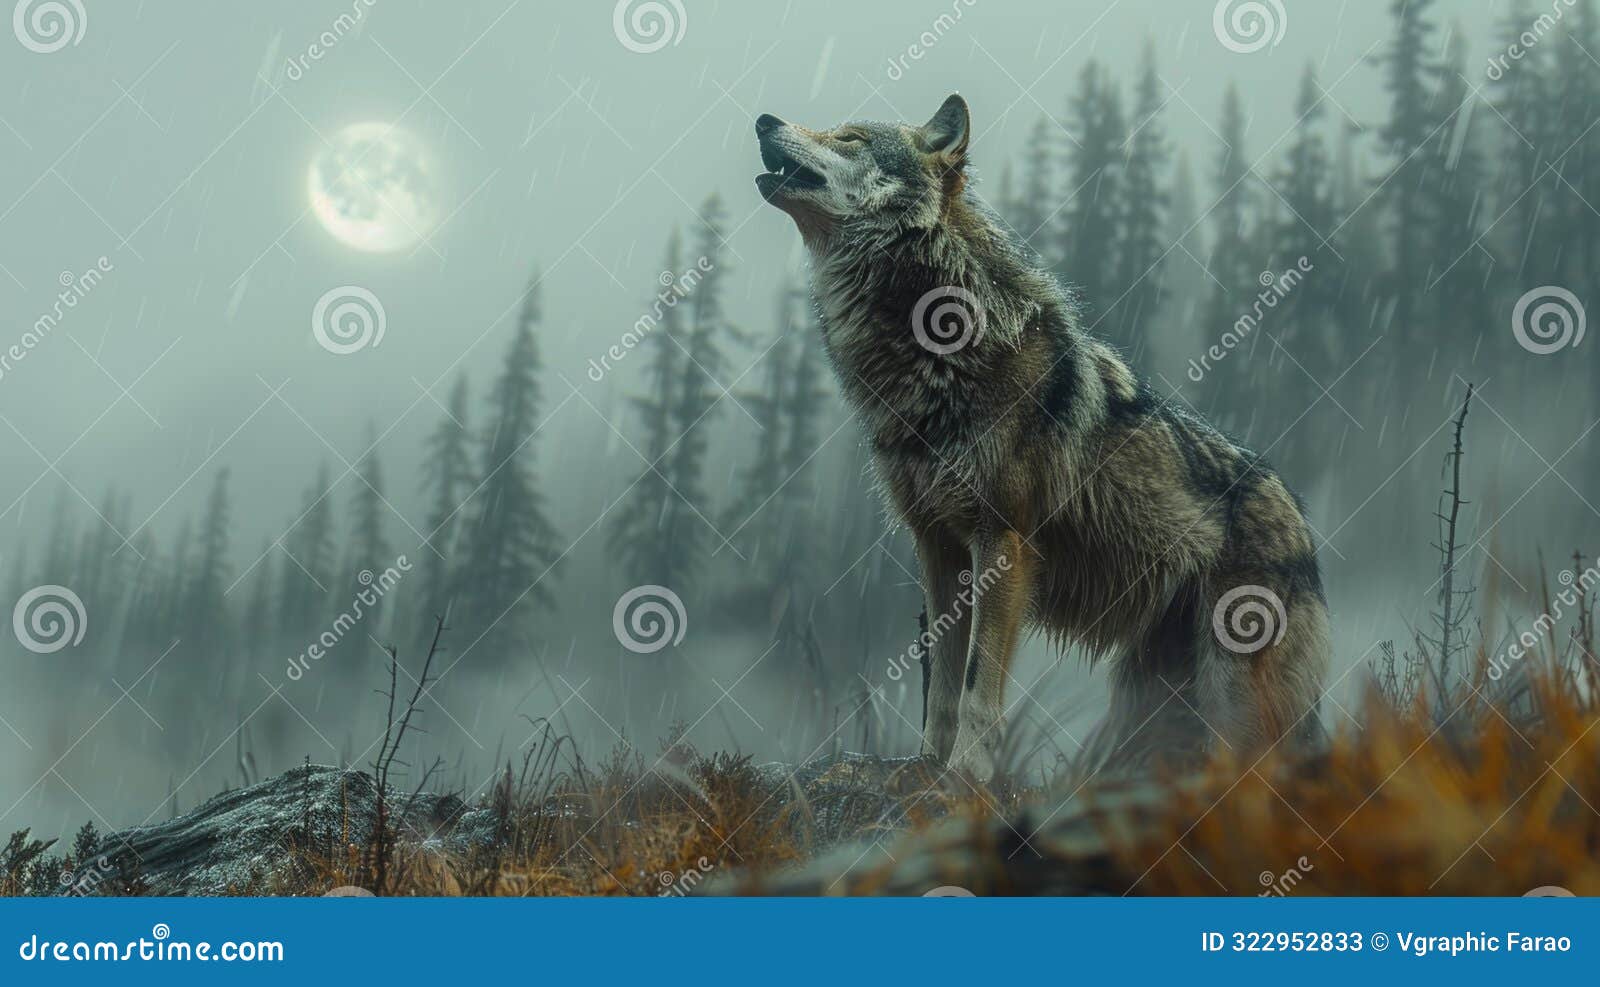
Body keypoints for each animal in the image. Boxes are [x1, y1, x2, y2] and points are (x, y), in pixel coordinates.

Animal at [754, 94, 1330, 780]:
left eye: (851, 138)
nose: (763, 121)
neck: (937, 350)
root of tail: (1299, 517)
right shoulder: (937, 546)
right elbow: (942, 683)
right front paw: (926, 769)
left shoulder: (1003, 542)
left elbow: (977, 687)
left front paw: (965, 779)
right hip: (1147, 701)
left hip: (1231, 698)